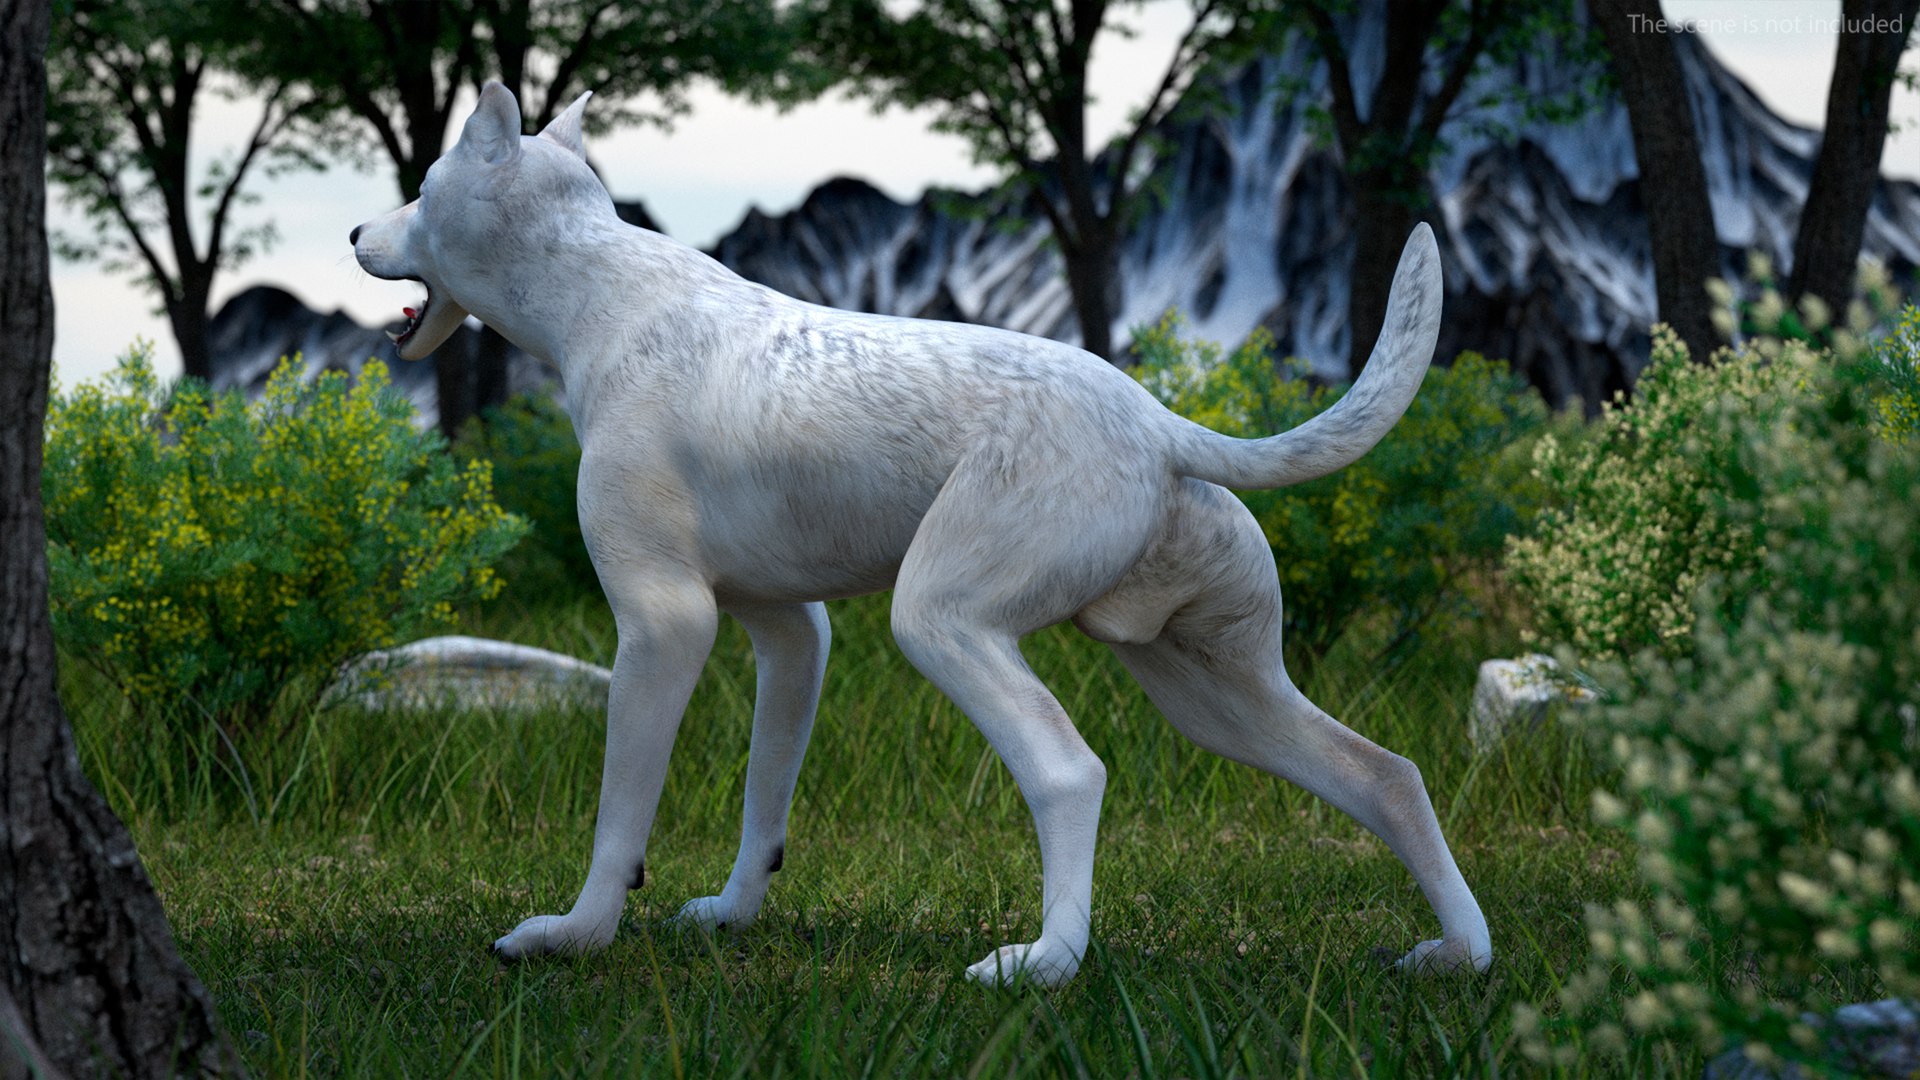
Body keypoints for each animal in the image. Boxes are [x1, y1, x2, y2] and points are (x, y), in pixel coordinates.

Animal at [351, 82, 1491, 987]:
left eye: (426, 186)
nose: (356, 235)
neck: (596, 289)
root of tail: (1158, 424)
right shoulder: (790, 633)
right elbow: (766, 794)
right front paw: (732, 915)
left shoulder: (663, 623)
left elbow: (617, 815)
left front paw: (574, 935)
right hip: (1214, 690)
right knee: (1386, 774)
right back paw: (1458, 955)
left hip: (946, 621)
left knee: (1069, 772)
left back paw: (1043, 966)